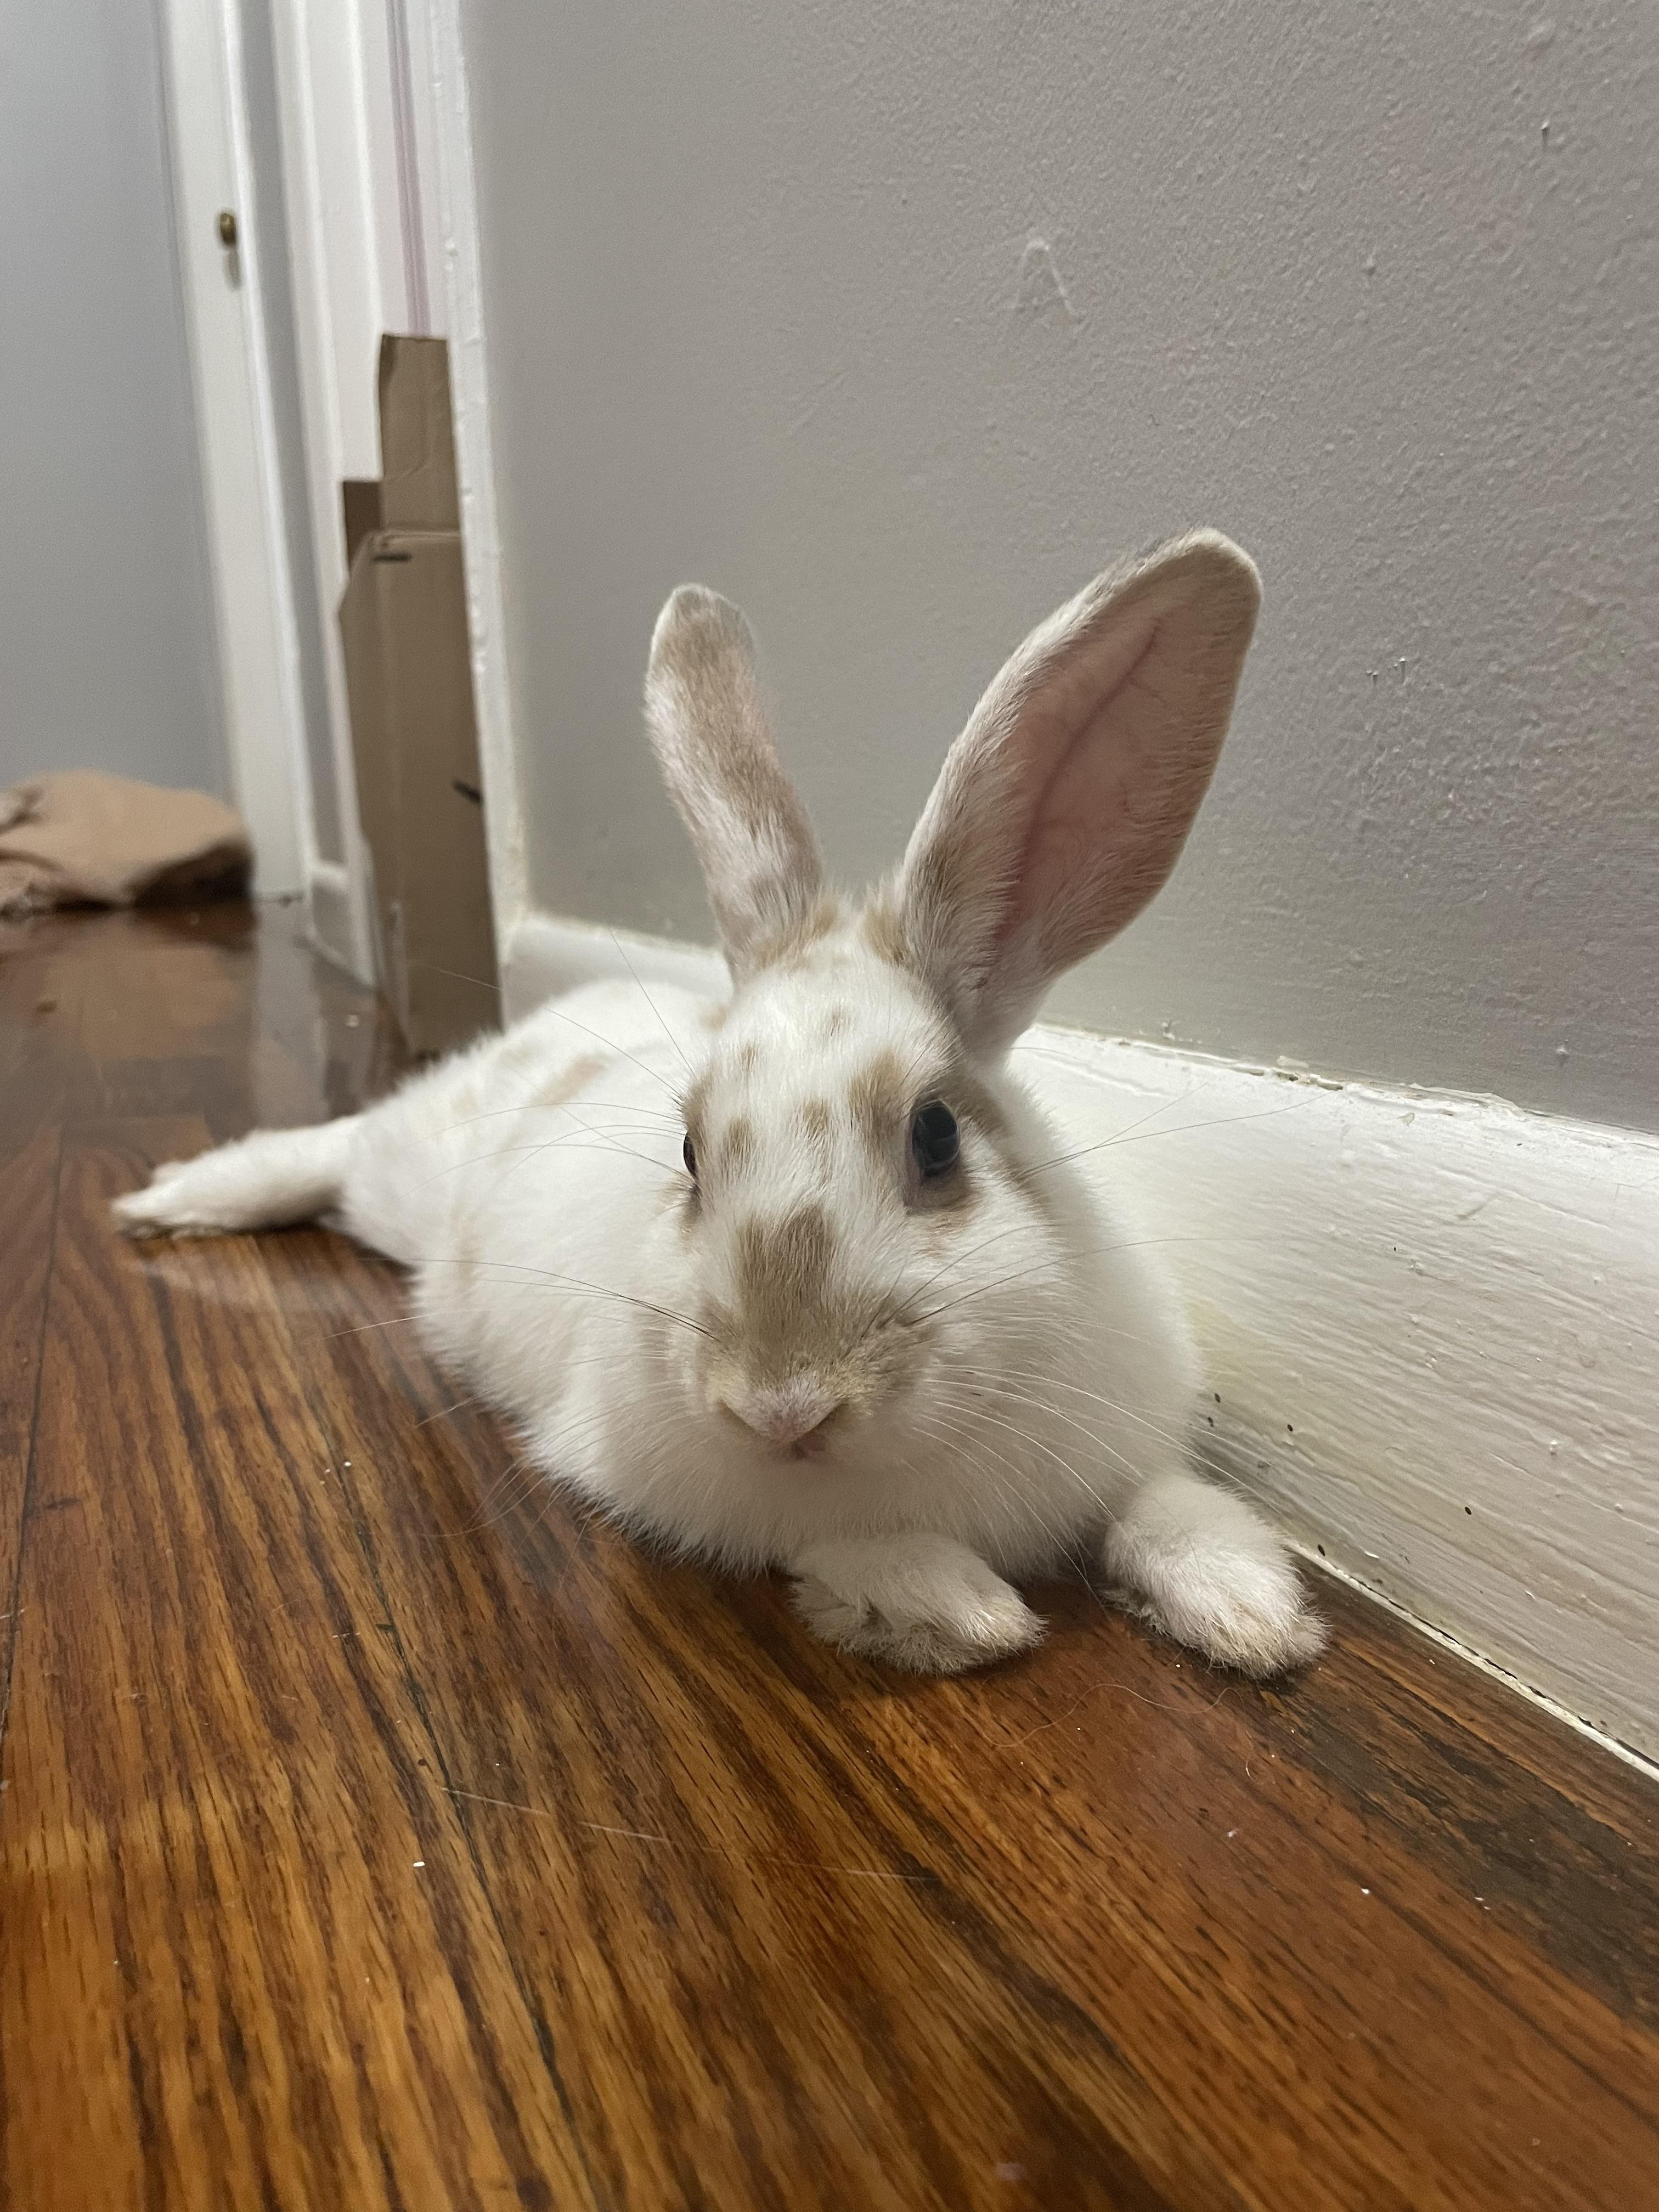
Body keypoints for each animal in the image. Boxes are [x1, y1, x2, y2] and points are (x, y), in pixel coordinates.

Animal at [114, 529, 1324, 1679]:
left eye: (936, 1138)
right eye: (690, 1154)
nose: (781, 1407)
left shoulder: (1129, 1438)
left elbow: (1166, 1505)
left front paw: (1255, 1614)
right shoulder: (700, 1492)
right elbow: (840, 1545)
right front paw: (954, 1611)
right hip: (398, 1171)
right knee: (334, 1145)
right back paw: (170, 1200)